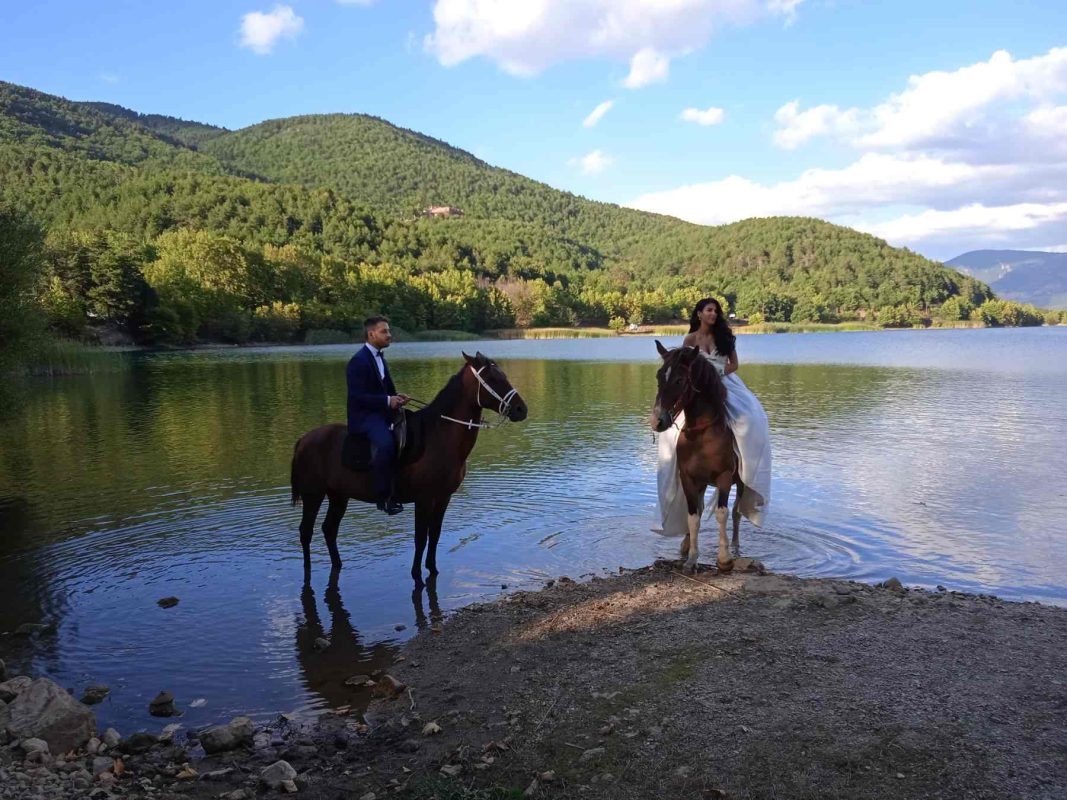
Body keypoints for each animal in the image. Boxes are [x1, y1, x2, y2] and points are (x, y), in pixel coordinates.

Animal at [290, 351, 528, 586]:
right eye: (492, 379)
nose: (521, 409)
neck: (440, 436)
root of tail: (303, 439)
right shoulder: (424, 499)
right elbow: (420, 538)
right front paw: (417, 575)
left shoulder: (443, 497)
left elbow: (435, 534)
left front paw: (432, 569)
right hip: (313, 495)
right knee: (306, 532)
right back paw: (307, 570)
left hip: (339, 496)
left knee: (329, 530)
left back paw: (337, 565)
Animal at [651, 341, 744, 574]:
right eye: (659, 376)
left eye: (679, 380)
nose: (656, 421)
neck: (703, 434)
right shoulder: (689, 478)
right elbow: (693, 516)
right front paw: (691, 559)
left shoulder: (724, 477)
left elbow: (722, 513)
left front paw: (724, 559)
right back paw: (686, 544)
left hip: (741, 483)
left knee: (737, 513)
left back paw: (736, 547)